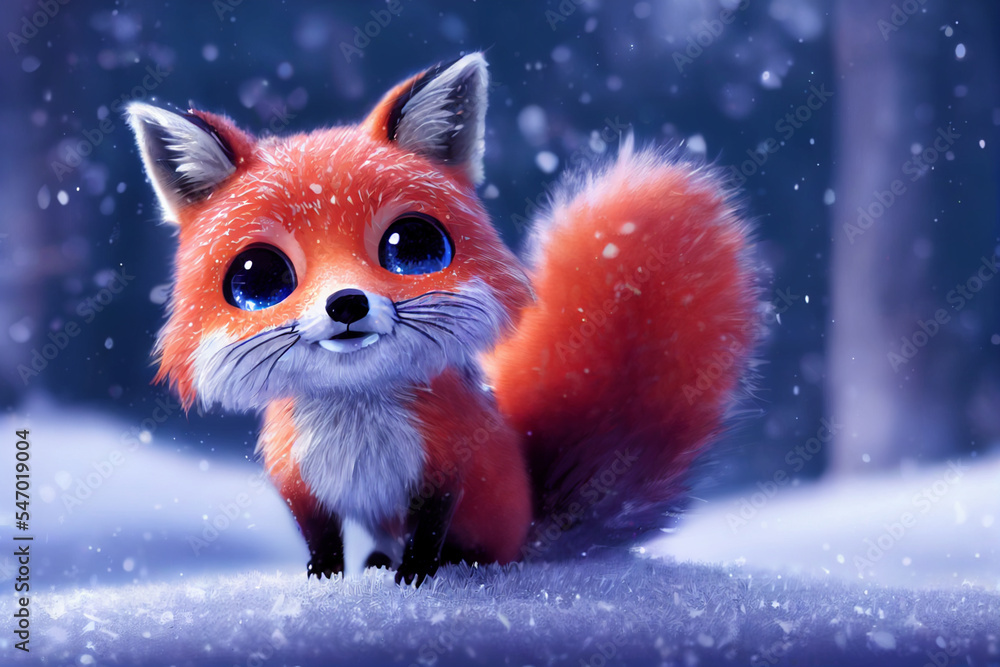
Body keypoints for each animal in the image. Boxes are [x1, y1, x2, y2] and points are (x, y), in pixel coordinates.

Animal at [126, 53, 760, 586]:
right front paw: (328, 580)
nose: (346, 303)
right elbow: (321, 540)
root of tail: (531, 523)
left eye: (413, 246)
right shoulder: (297, 482)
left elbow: (428, 534)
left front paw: (416, 579)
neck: (356, 418)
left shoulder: (445, 466)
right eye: (258, 278)